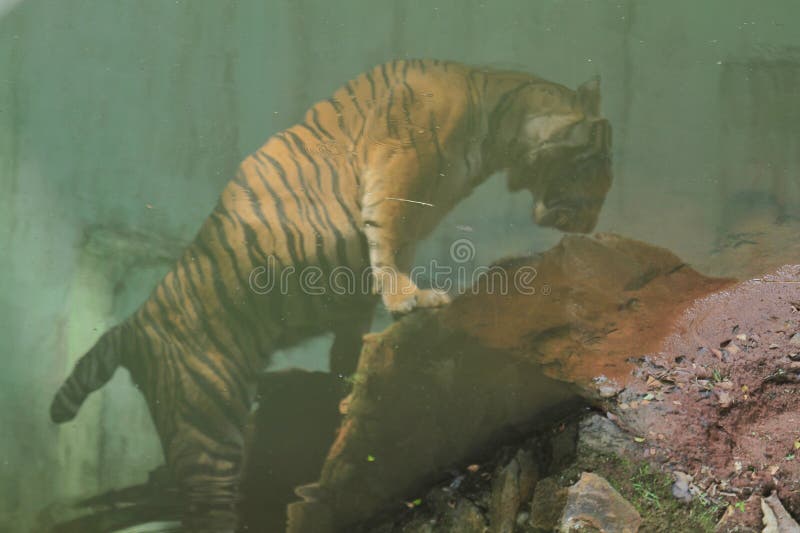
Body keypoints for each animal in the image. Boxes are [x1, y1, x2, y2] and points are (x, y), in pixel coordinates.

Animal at [50, 59, 612, 532]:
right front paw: (410, 300)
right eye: (595, 172)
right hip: (206, 425)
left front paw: (351, 381)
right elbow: (389, 237)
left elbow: (358, 316)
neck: (503, 116)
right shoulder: (400, 167)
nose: (590, 226)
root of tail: (133, 323)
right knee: (205, 510)